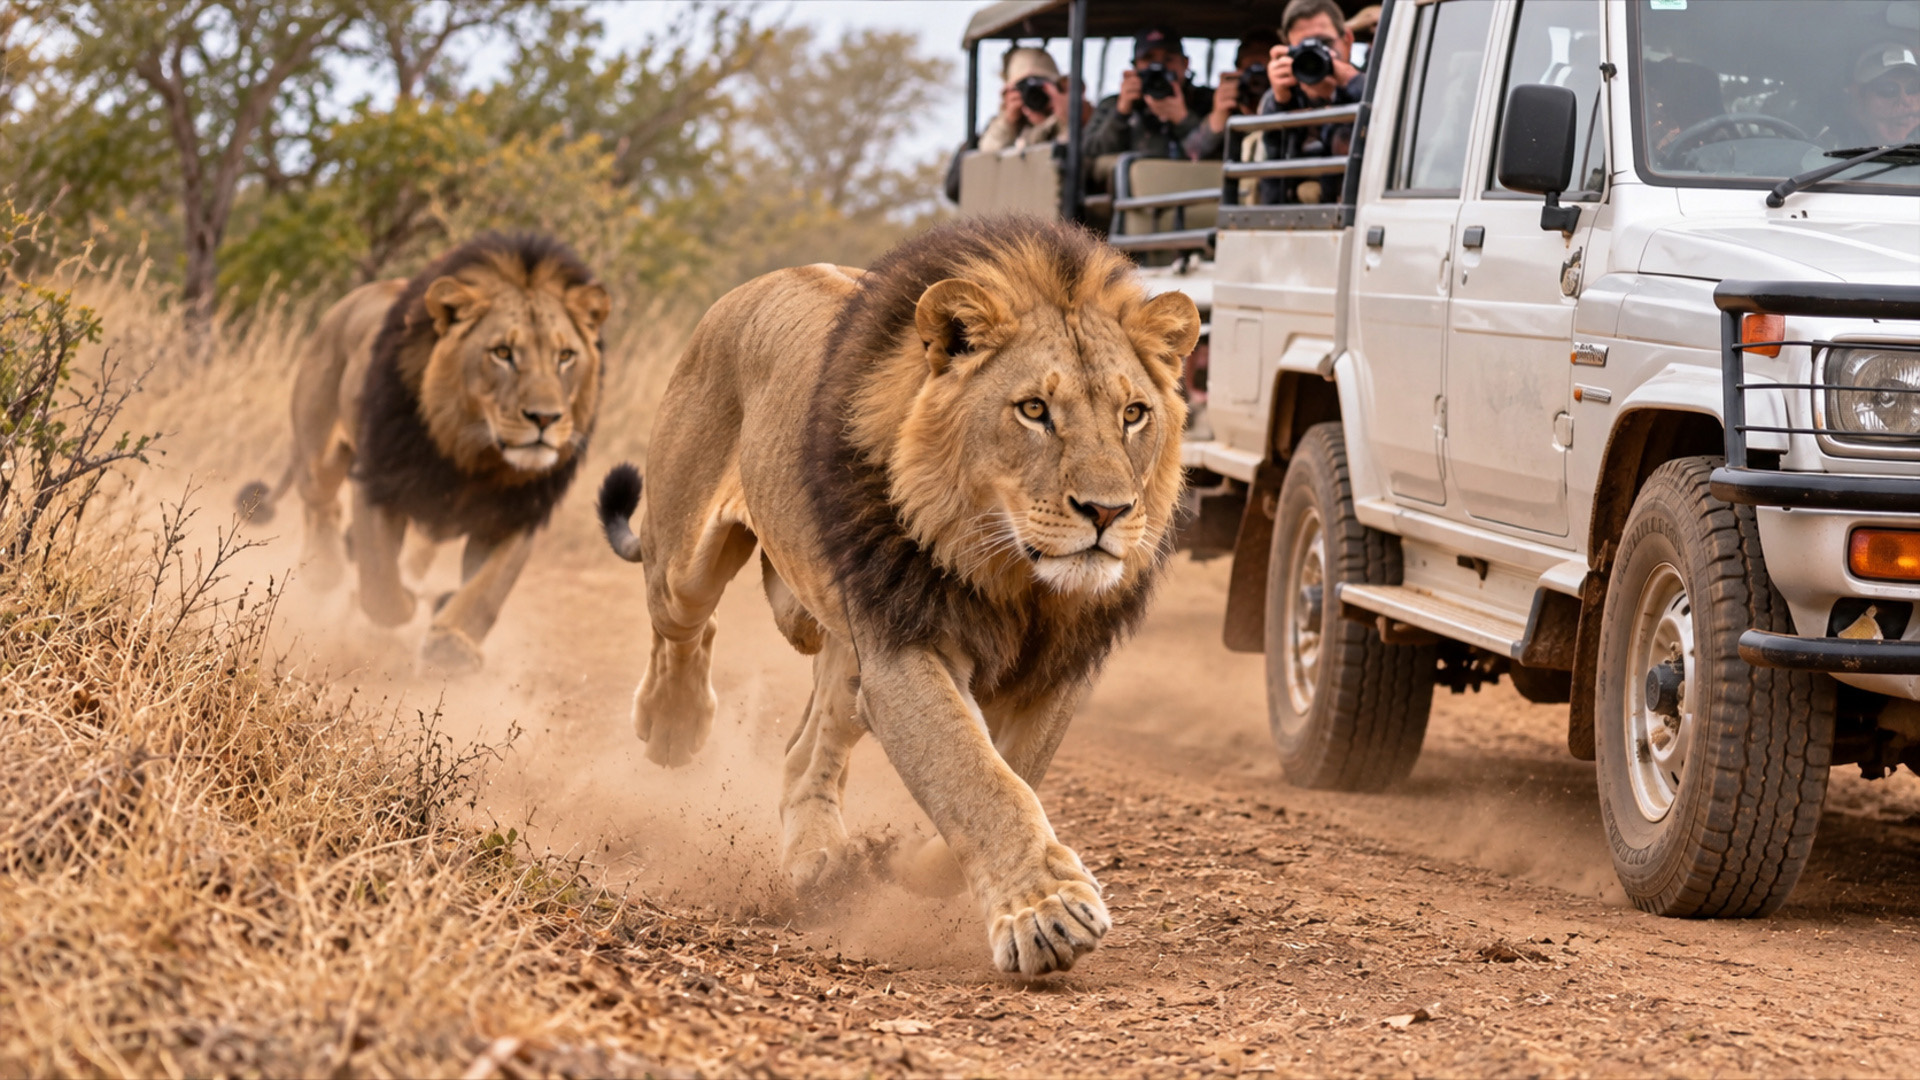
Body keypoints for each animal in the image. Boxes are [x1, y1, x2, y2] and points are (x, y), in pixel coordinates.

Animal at [238, 232, 611, 672]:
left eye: (565, 356)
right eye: (502, 352)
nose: (546, 418)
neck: (474, 456)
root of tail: (344, 305)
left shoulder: (518, 510)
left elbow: (489, 588)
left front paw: (453, 644)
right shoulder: (380, 482)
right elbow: (380, 585)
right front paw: (404, 602)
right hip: (320, 447)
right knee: (321, 502)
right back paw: (324, 569)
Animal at [594, 215, 1199, 976]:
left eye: (1134, 414)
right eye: (1034, 410)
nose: (1108, 511)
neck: (1020, 584)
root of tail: (749, 288)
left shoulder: (1057, 670)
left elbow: (1013, 774)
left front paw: (910, 869)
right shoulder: (906, 645)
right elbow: (973, 773)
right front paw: (1045, 911)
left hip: (849, 644)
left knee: (808, 741)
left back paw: (820, 857)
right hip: (687, 560)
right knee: (684, 625)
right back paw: (674, 728)